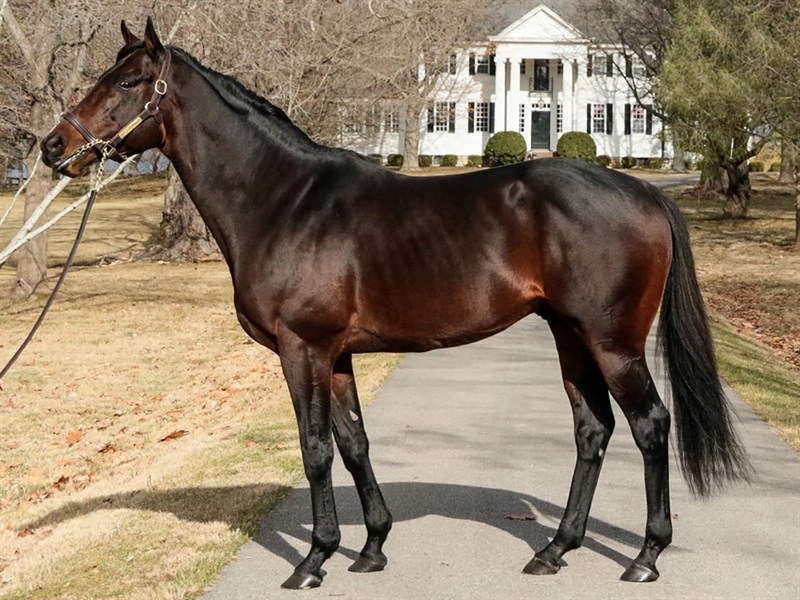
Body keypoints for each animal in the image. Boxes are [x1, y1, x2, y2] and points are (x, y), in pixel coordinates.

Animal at [40, 18, 751, 590]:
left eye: (129, 82)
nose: (54, 147)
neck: (284, 201)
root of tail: (645, 193)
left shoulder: (302, 350)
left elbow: (315, 450)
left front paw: (313, 560)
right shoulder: (335, 356)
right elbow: (354, 443)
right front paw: (370, 546)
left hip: (612, 342)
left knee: (649, 425)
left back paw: (645, 557)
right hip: (570, 336)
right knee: (593, 430)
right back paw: (555, 549)